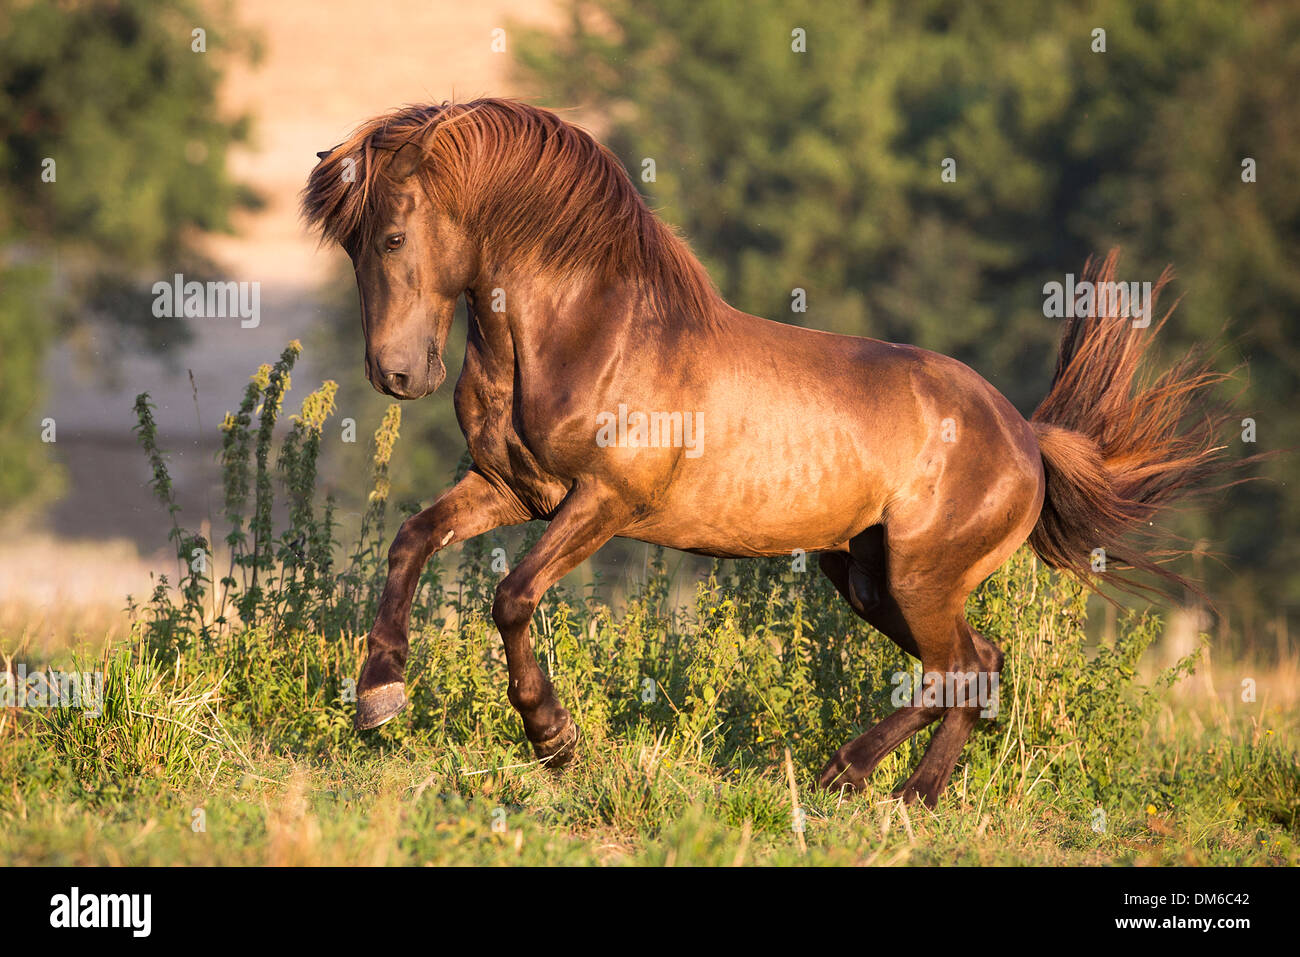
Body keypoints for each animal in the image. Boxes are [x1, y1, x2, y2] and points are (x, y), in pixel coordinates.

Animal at [303, 98, 1238, 808]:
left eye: (392, 237)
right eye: (351, 244)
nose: (397, 374)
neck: (588, 332)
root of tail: (1027, 440)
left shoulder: (604, 502)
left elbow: (511, 595)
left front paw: (554, 739)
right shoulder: (510, 487)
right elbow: (412, 540)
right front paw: (378, 694)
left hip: (921, 576)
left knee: (953, 671)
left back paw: (851, 774)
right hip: (867, 575)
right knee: (979, 665)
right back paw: (909, 795)